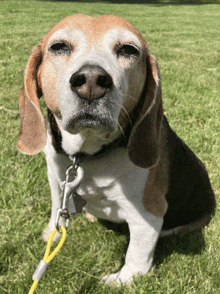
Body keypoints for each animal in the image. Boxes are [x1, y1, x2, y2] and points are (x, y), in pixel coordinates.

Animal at [16, 14, 215, 284]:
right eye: (59, 47)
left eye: (129, 50)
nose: (91, 80)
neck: (86, 156)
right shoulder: (56, 180)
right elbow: (57, 207)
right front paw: (52, 234)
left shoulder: (149, 213)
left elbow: (137, 258)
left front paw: (120, 280)